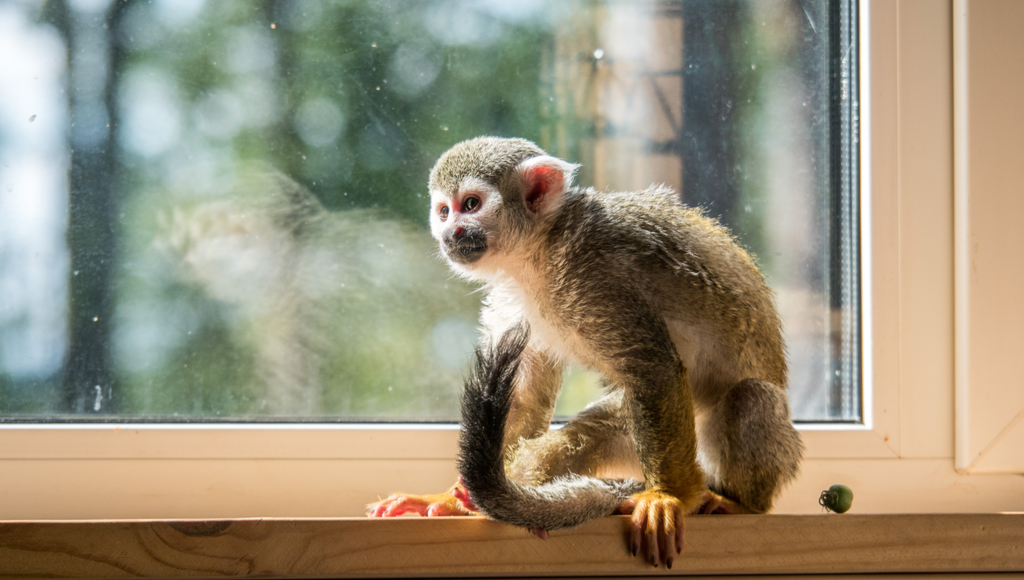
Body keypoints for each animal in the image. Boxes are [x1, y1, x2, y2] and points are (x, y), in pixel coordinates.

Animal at [367, 136, 803, 568]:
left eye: (470, 205)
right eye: (443, 211)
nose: (451, 232)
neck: (540, 250)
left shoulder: (596, 274)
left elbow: (654, 367)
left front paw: (668, 496)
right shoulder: (514, 295)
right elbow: (522, 398)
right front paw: (457, 501)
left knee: (750, 397)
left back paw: (737, 502)